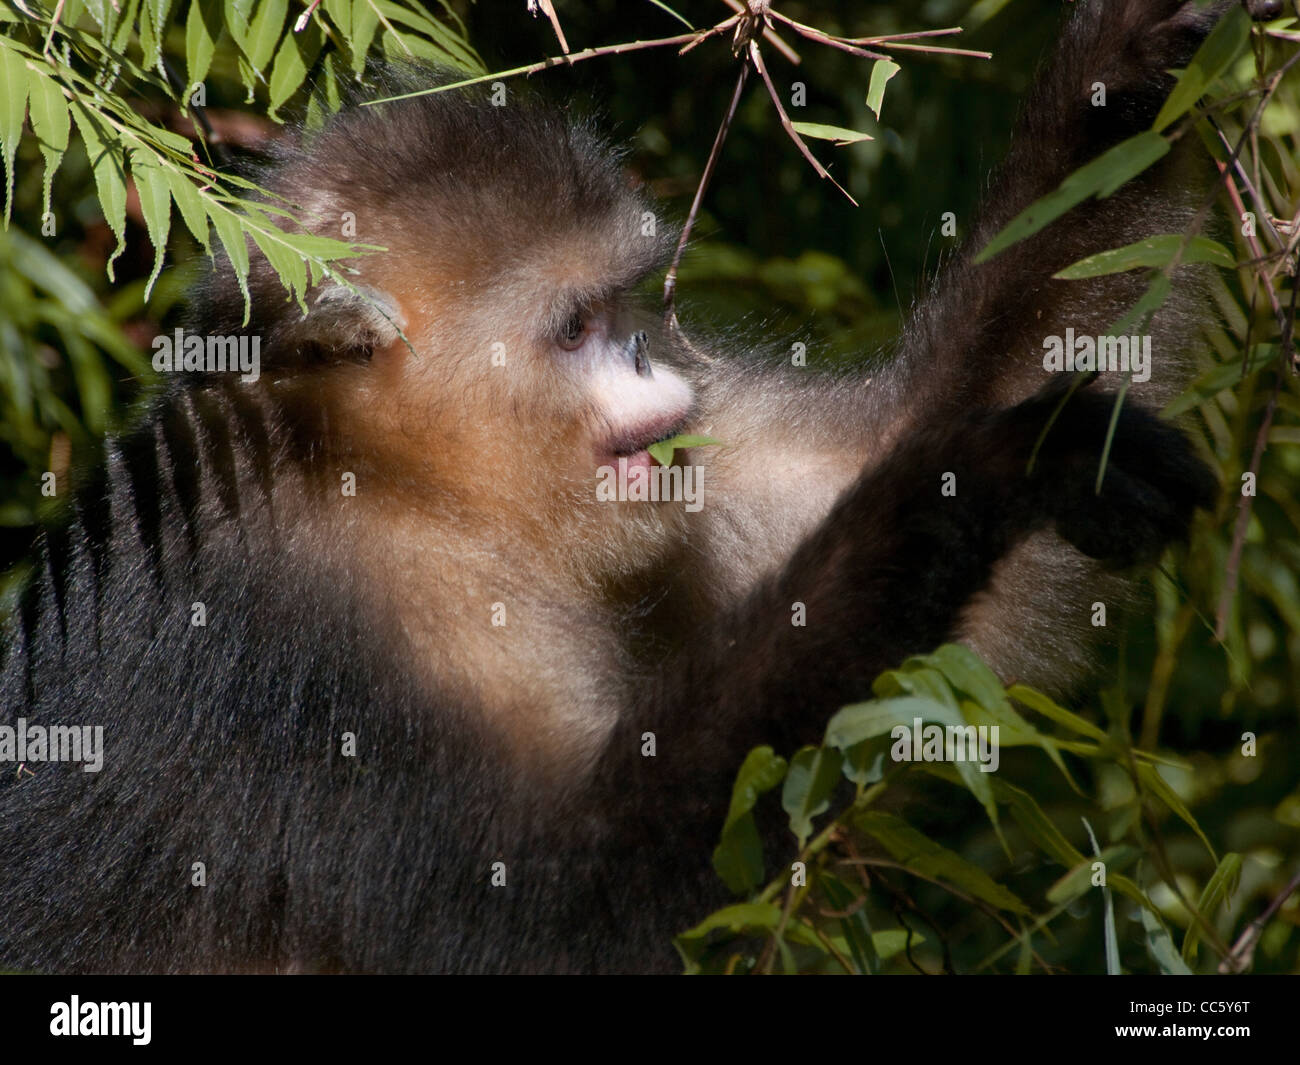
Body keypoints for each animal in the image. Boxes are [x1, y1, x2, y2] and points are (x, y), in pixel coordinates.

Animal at [0, 0, 1228, 974]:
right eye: (576, 327)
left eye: (628, 310)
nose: (648, 363)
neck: (392, 479)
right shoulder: (322, 633)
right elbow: (559, 912)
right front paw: (1009, 460)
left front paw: (1124, 61)